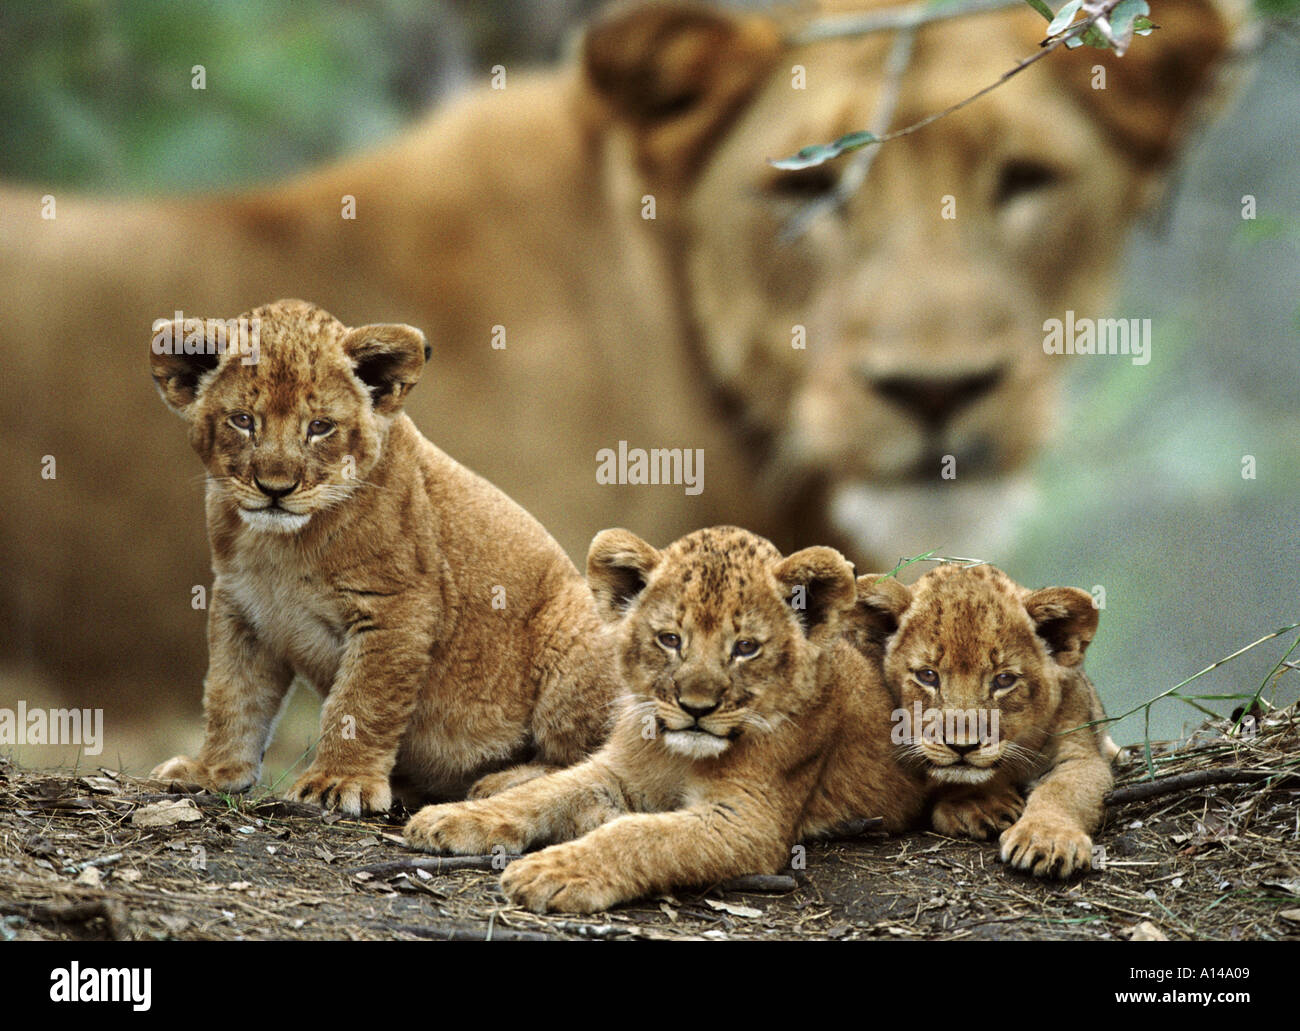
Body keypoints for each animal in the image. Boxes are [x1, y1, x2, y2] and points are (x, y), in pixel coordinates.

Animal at [146, 299, 621, 814]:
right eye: (243, 420)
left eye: (320, 427)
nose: (276, 488)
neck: (281, 545)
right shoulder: (241, 607)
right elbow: (231, 695)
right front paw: (212, 771)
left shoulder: (397, 607)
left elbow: (361, 702)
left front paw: (340, 782)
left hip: (575, 626)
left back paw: (503, 781)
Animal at [404, 525, 929, 914]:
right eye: (671, 639)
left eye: (745, 648)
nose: (696, 707)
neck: (680, 756)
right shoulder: (616, 769)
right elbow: (547, 793)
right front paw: (449, 818)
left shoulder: (748, 822)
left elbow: (641, 835)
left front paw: (551, 872)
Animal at [855, 562, 1116, 877]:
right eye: (927, 675)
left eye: (1003, 680)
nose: (962, 747)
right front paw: (981, 804)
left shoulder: (1080, 751)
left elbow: (1063, 790)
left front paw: (1046, 839)